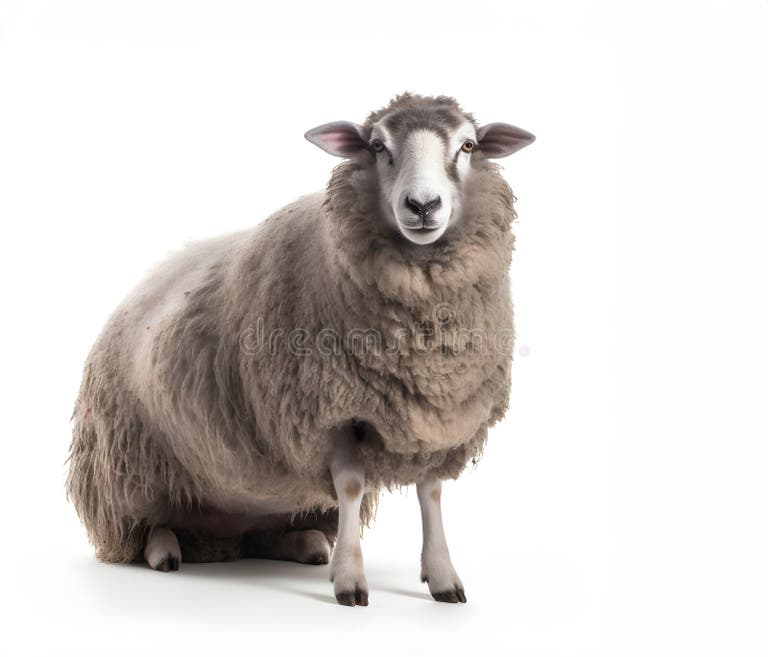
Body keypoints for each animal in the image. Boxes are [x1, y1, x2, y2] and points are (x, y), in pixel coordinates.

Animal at [66, 92, 535, 606]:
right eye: (377, 145)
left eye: (468, 145)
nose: (423, 205)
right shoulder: (330, 413)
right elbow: (349, 488)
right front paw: (350, 579)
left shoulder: (438, 416)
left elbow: (430, 493)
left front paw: (442, 576)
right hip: (131, 468)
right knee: (148, 525)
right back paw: (164, 550)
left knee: (264, 532)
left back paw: (304, 543)